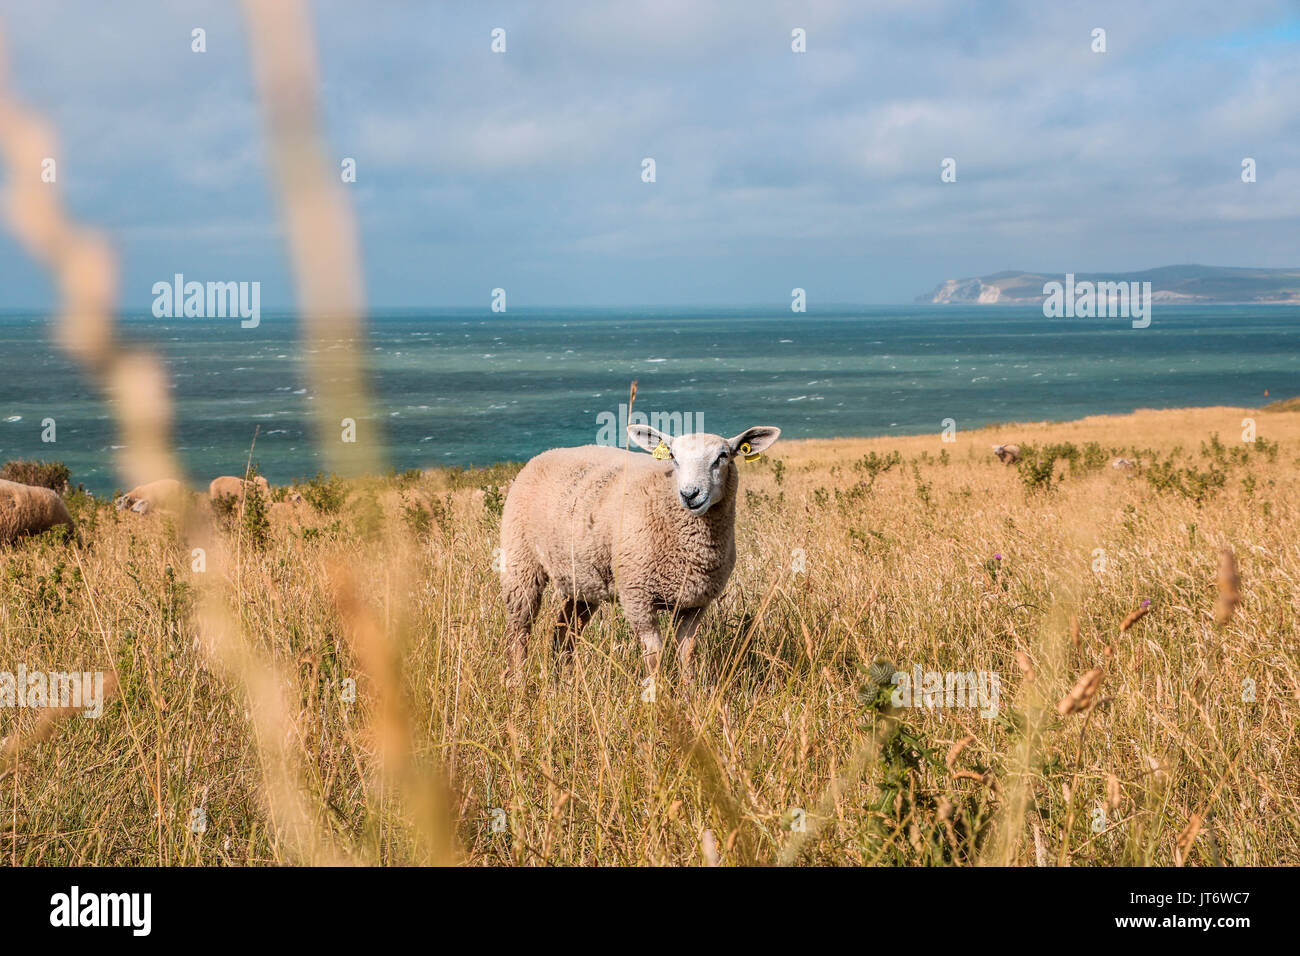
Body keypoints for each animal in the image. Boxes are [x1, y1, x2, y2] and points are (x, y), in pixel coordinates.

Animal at [500, 423, 780, 684]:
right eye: (673, 457)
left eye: (722, 456)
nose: (690, 494)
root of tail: (544, 455)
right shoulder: (637, 596)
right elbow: (654, 655)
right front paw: (656, 696)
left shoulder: (694, 603)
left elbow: (688, 653)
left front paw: (690, 695)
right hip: (520, 561)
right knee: (519, 628)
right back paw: (518, 681)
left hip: (583, 577)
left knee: (564, 629)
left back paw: (564, 680)